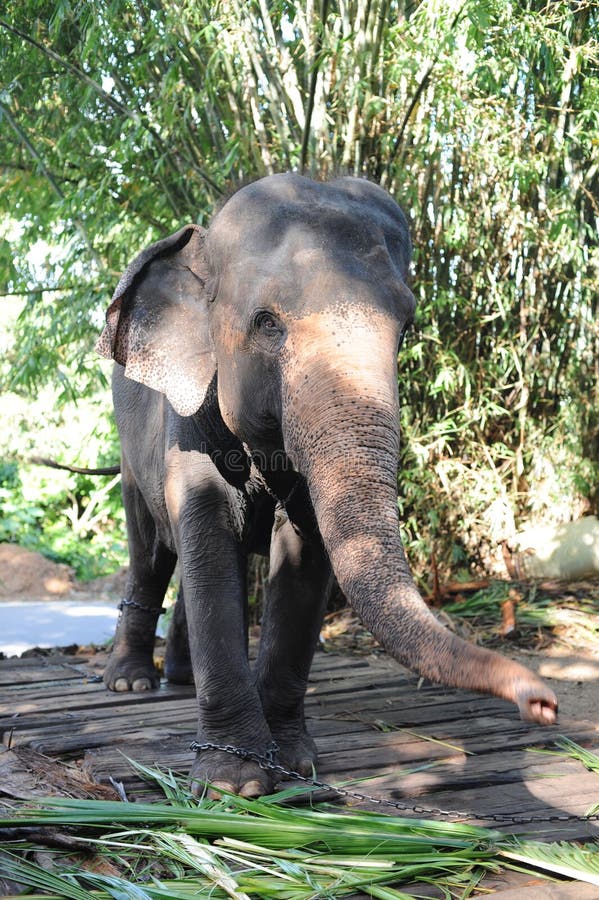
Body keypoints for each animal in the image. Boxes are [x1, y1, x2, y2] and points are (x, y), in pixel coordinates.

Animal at [97, 173, 557, 798]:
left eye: (406, 325)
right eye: (267, 322)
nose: (543, 704)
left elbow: (304, 554)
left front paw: (292, 765)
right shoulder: (186, 422)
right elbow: (206, 530)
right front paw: (234, 785)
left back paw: (182, 679)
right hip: (128, 454)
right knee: (150, 550)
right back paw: (130, 684)